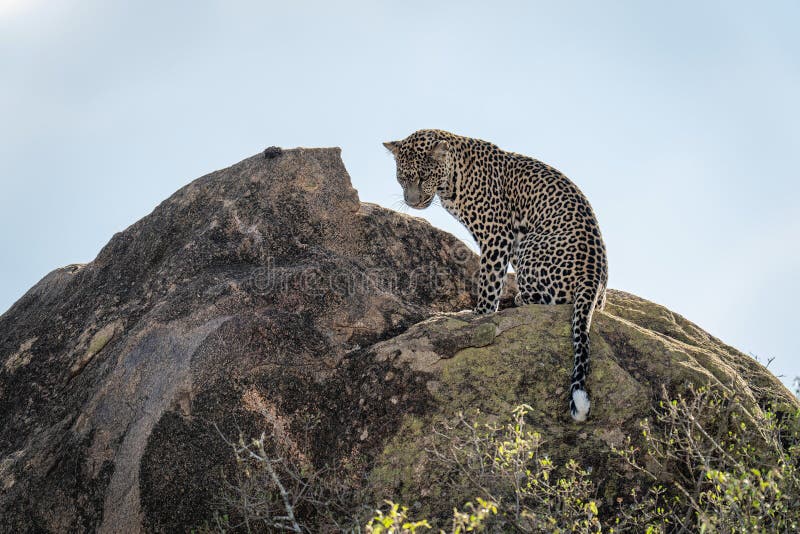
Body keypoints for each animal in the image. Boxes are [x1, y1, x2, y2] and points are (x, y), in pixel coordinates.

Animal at [384, 129, 608, 422]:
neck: (453, 177)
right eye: (402, 178)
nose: (412, 202)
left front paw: (481, 313)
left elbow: (490, 278)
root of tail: (593, 277)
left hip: (531, 244)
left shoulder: (496, 232)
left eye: (423, 177)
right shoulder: (510, 237)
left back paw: (521, 300)